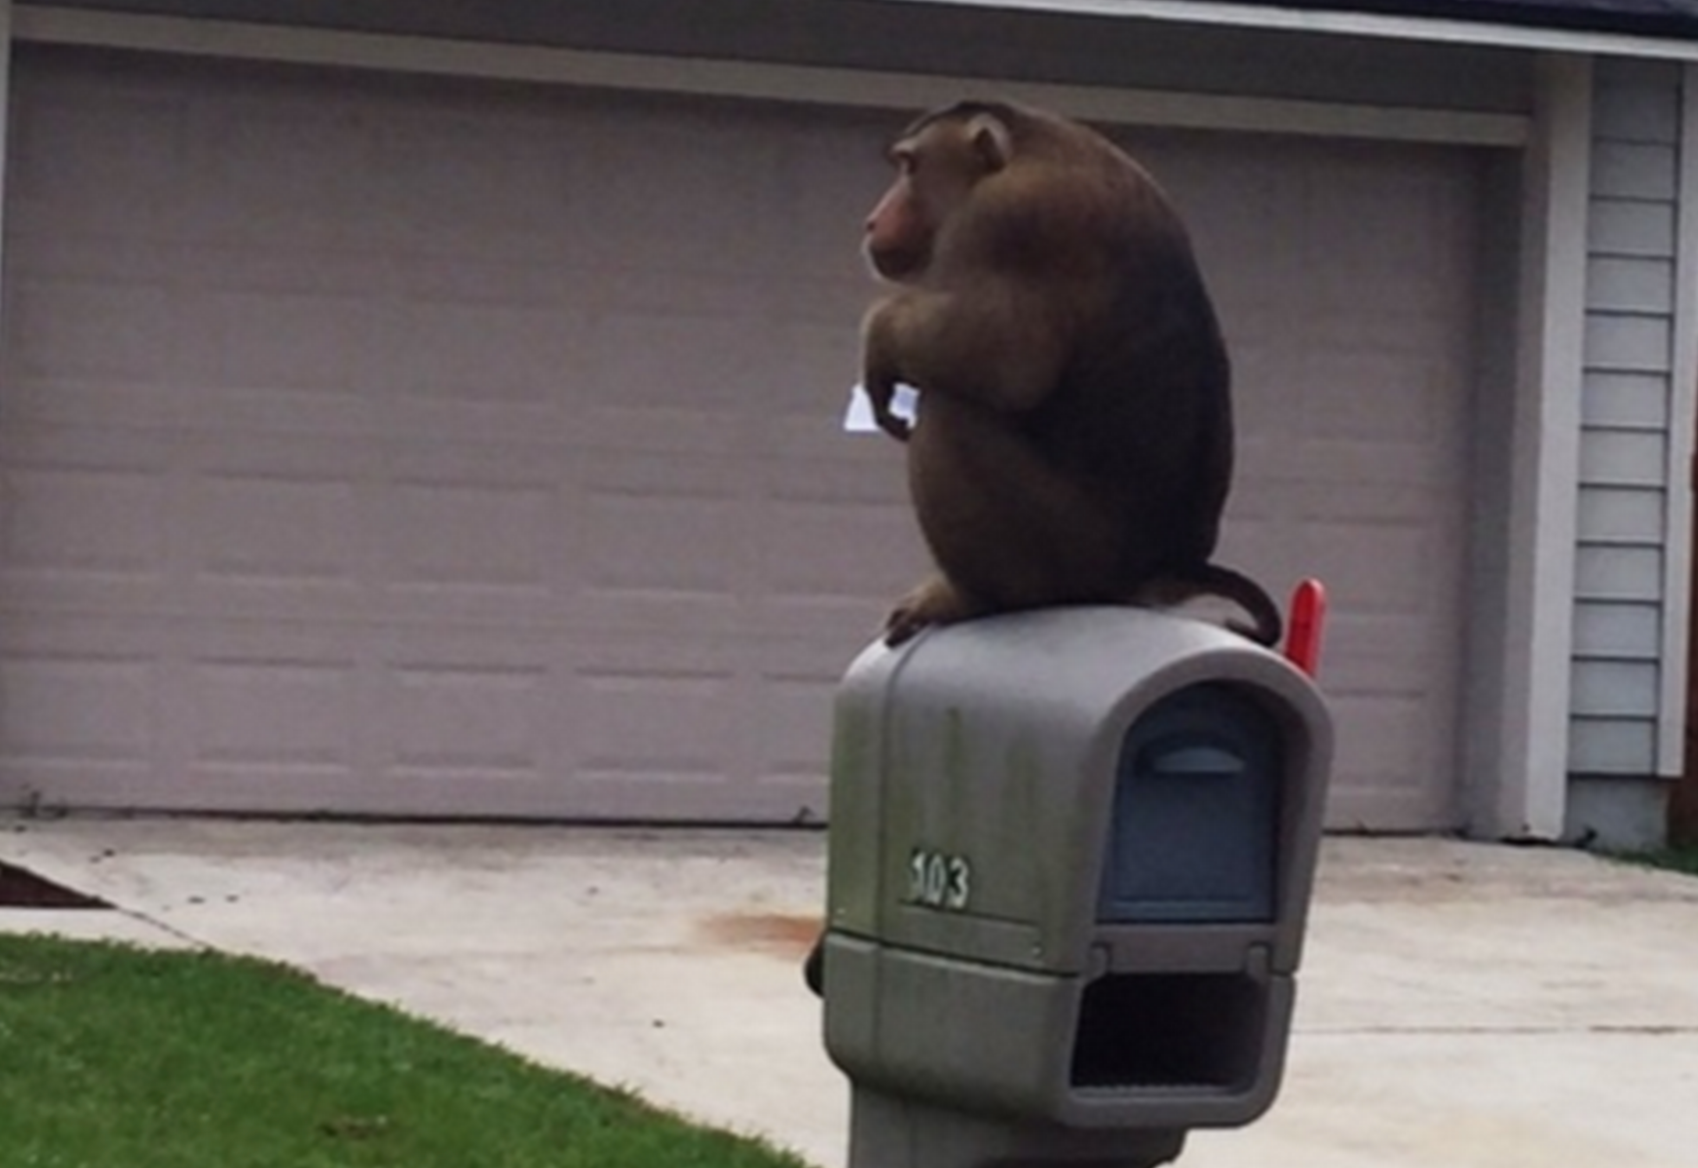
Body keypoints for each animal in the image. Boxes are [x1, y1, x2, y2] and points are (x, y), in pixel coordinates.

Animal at [859, 99, 1281, 649]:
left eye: (909, 167)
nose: (873, 221)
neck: (1024, 148)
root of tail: (1171, 569)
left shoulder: (1007, 218)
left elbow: (1003, 359)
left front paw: (880, 339)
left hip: (1073, 560)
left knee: (952, 411)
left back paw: (975, 598)